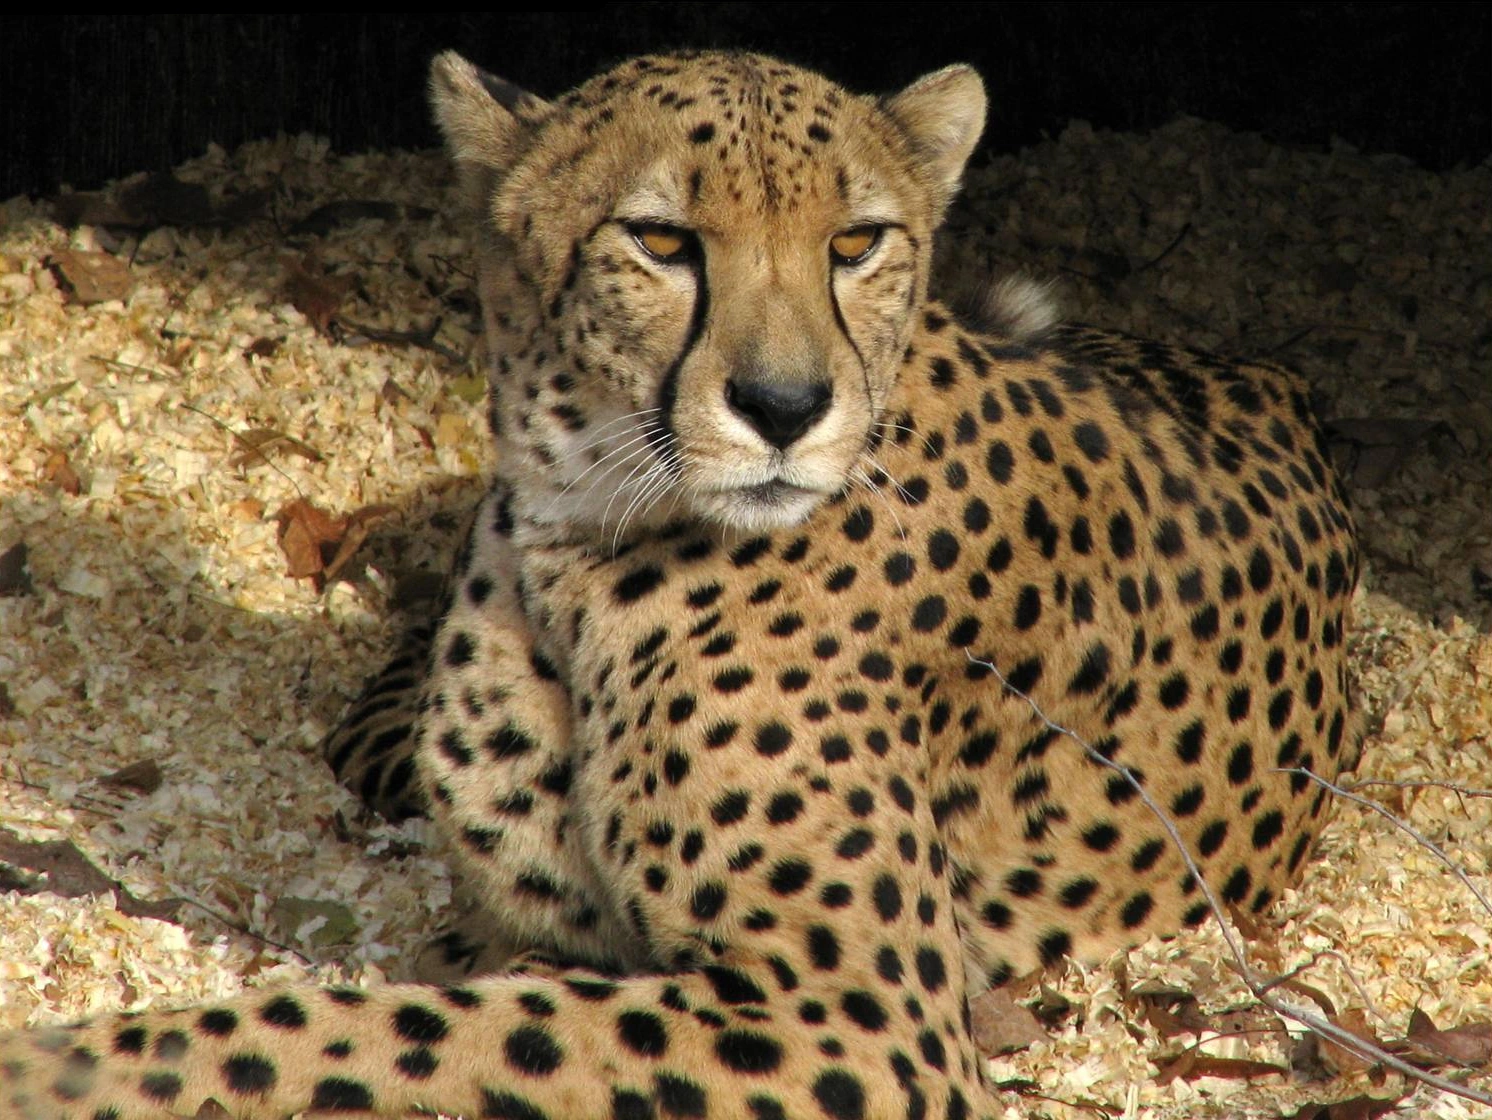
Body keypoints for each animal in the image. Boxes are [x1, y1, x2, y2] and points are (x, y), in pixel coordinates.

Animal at [2, 47, 1360, 1120]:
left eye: (855, 242)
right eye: (660, 242)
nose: (784, 406)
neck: (581, 541)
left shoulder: (859, 1020)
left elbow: (362, 1029)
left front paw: (79, 1065)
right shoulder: (532, 927)